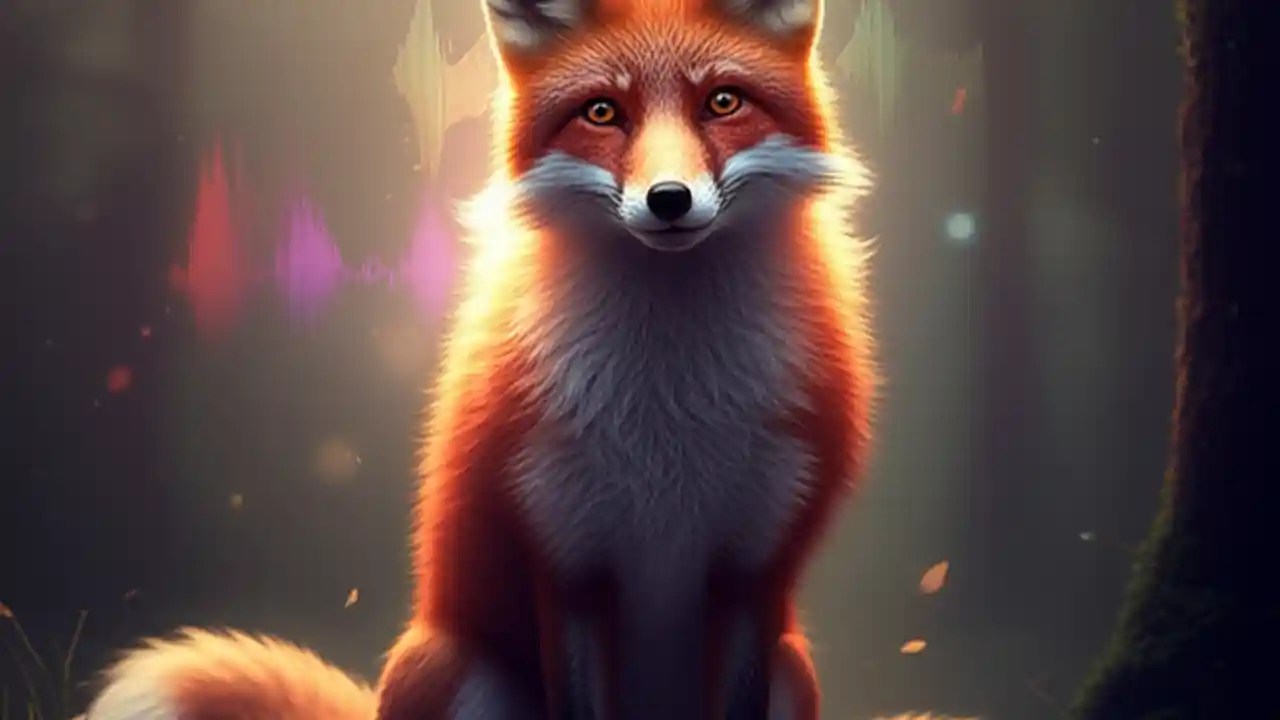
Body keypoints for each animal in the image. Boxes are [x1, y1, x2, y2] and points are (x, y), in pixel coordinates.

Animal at [84, 0, 875, 718]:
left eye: (722, 101)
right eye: (601, 112)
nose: (669, 200)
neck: (670, 413)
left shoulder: (750, 569)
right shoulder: (565, 560)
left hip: (793, 668)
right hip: (462, 675)